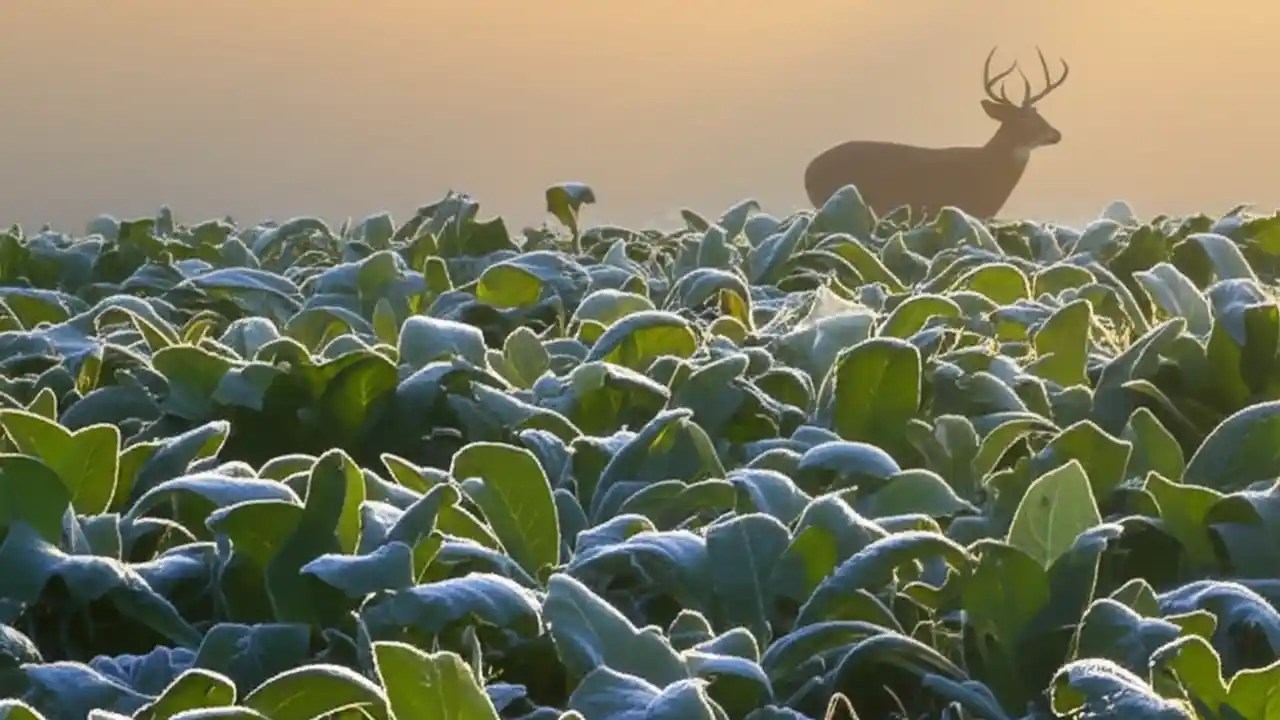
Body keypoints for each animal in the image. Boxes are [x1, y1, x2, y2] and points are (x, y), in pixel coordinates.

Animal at [803, 47, 1070, 222]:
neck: (989, 169)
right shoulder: (964, 209)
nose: (1056, 134)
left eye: (1037, 112)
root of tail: (808, 172)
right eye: (1024, 118)